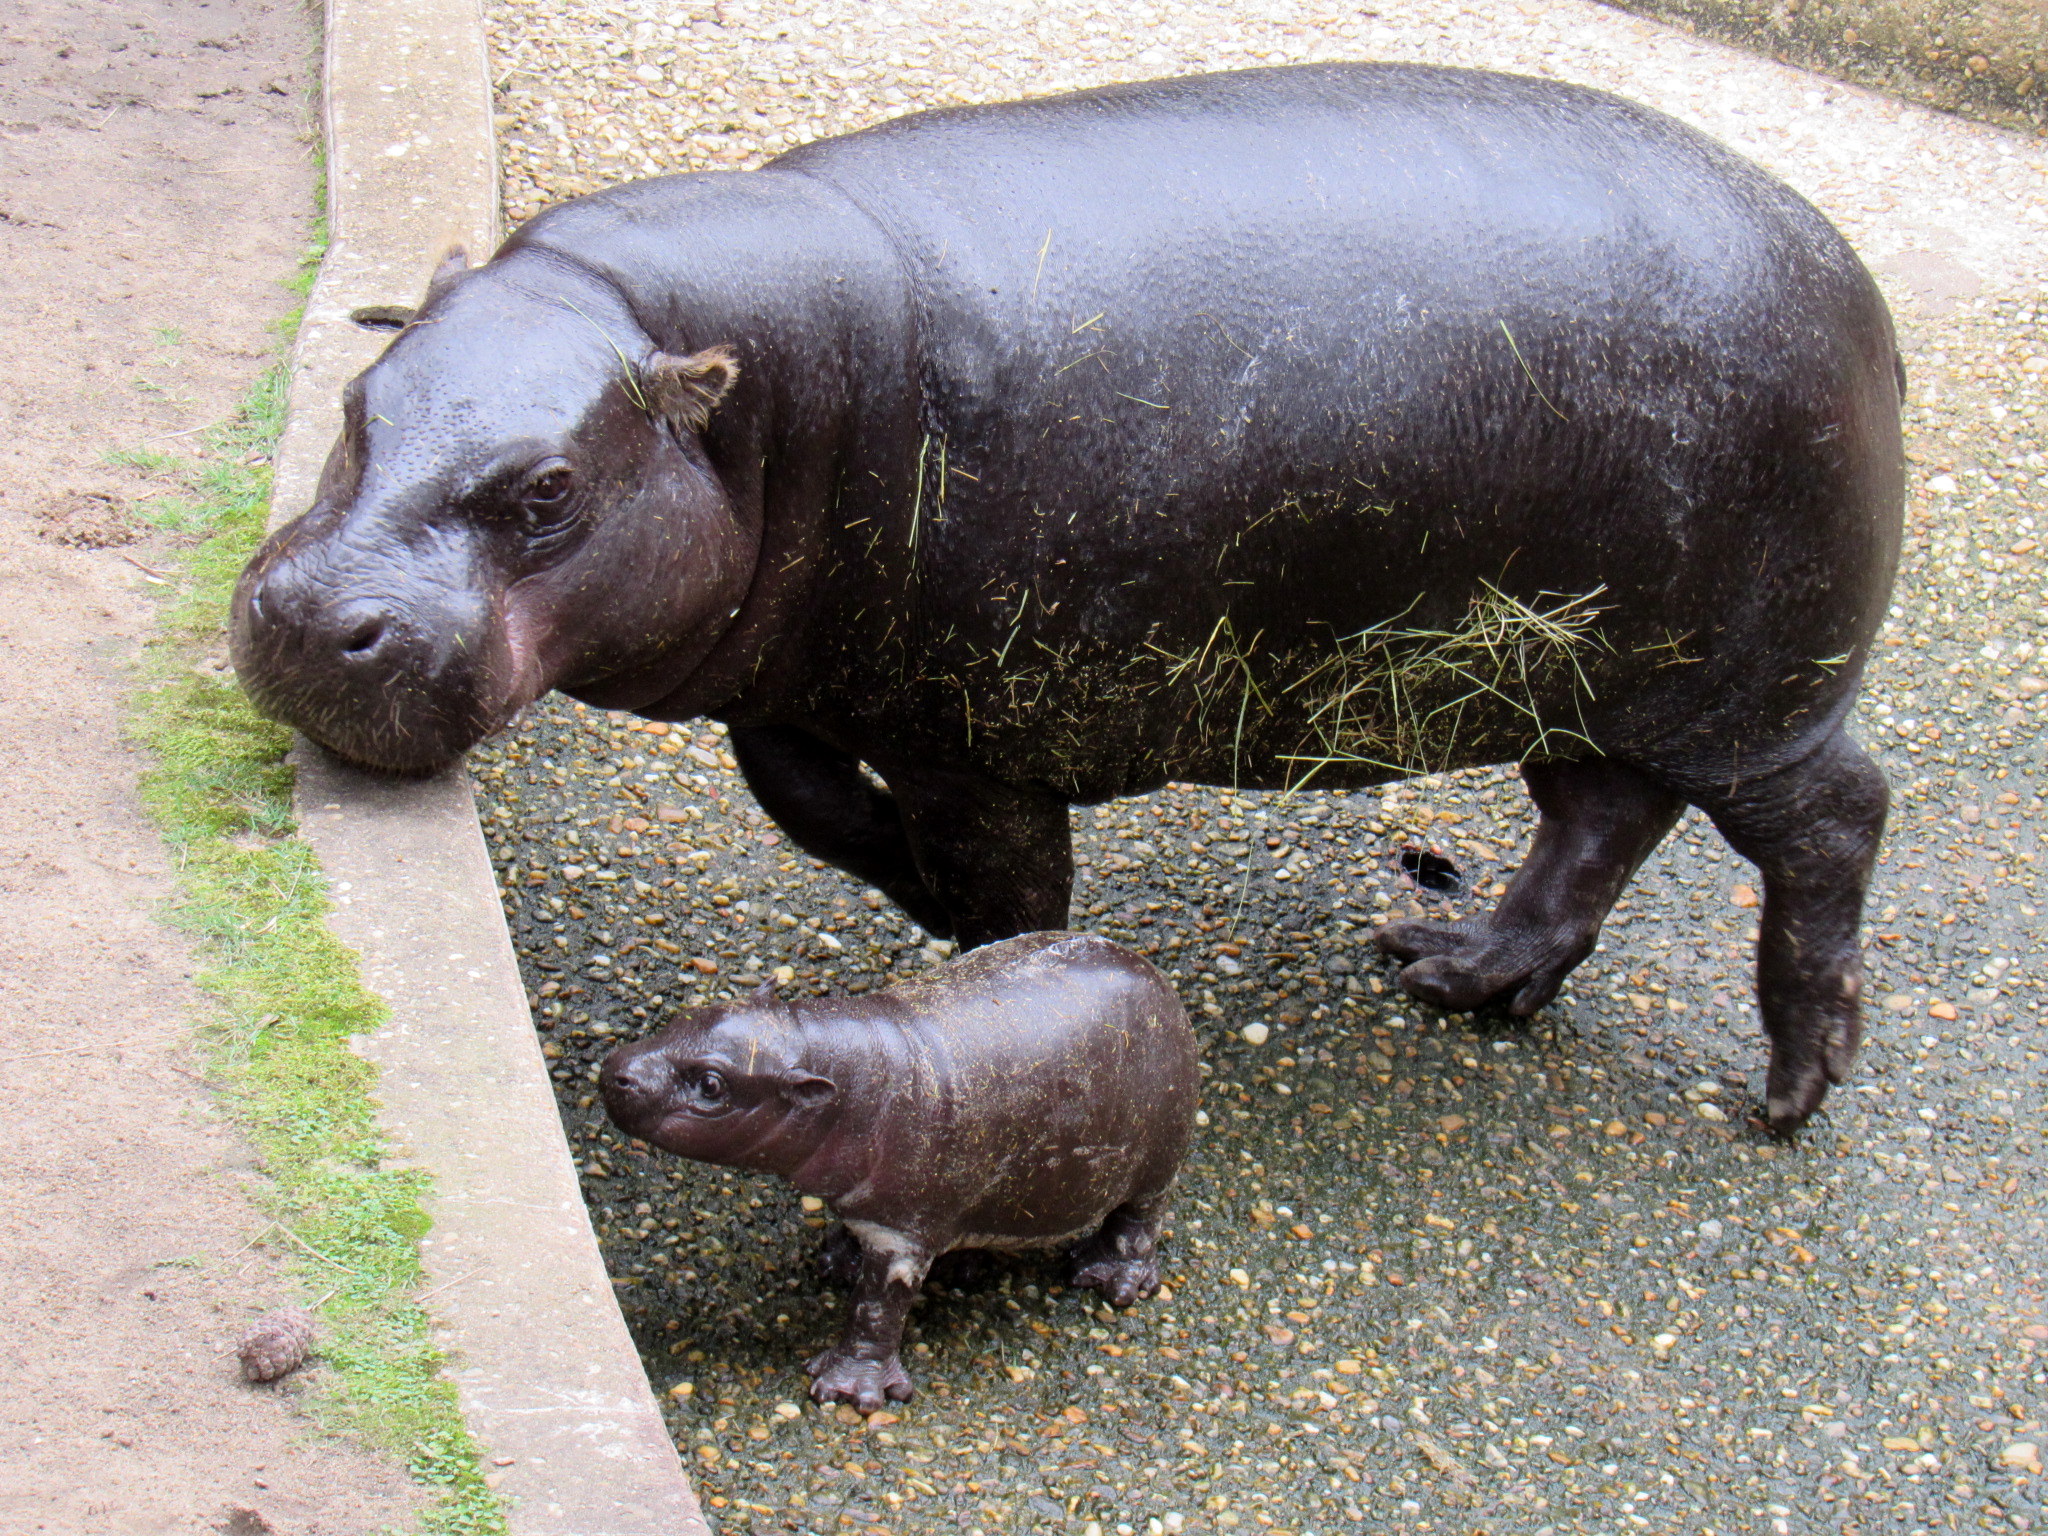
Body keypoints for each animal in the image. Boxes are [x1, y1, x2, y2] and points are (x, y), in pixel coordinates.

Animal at [232, 63, 1904, 1130]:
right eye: (361, 394)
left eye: (546, 491)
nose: (312, 618)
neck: (752, 382)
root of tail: (1857, 282)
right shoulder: (814, 680)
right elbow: (798, 796)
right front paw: (905, 885)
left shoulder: (986, 740)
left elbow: (1013, 890)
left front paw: (988, 971)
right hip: (1570, 678)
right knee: (1599, 818)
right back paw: (1458, 972)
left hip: (1748, 688)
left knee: (1831, 819)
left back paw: (1791, 1090)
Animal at [600, 931, 1199, 1409]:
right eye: (686, 1017)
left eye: (711, 1084)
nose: (615, 1071)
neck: (845, 1073)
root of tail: (1156, 976)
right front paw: (838, 1261)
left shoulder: (901, 1237)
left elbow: (875, 1311)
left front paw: (846, 1391)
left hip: (1157, 1161)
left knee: (1140, 1219)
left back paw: (1108, 1280)